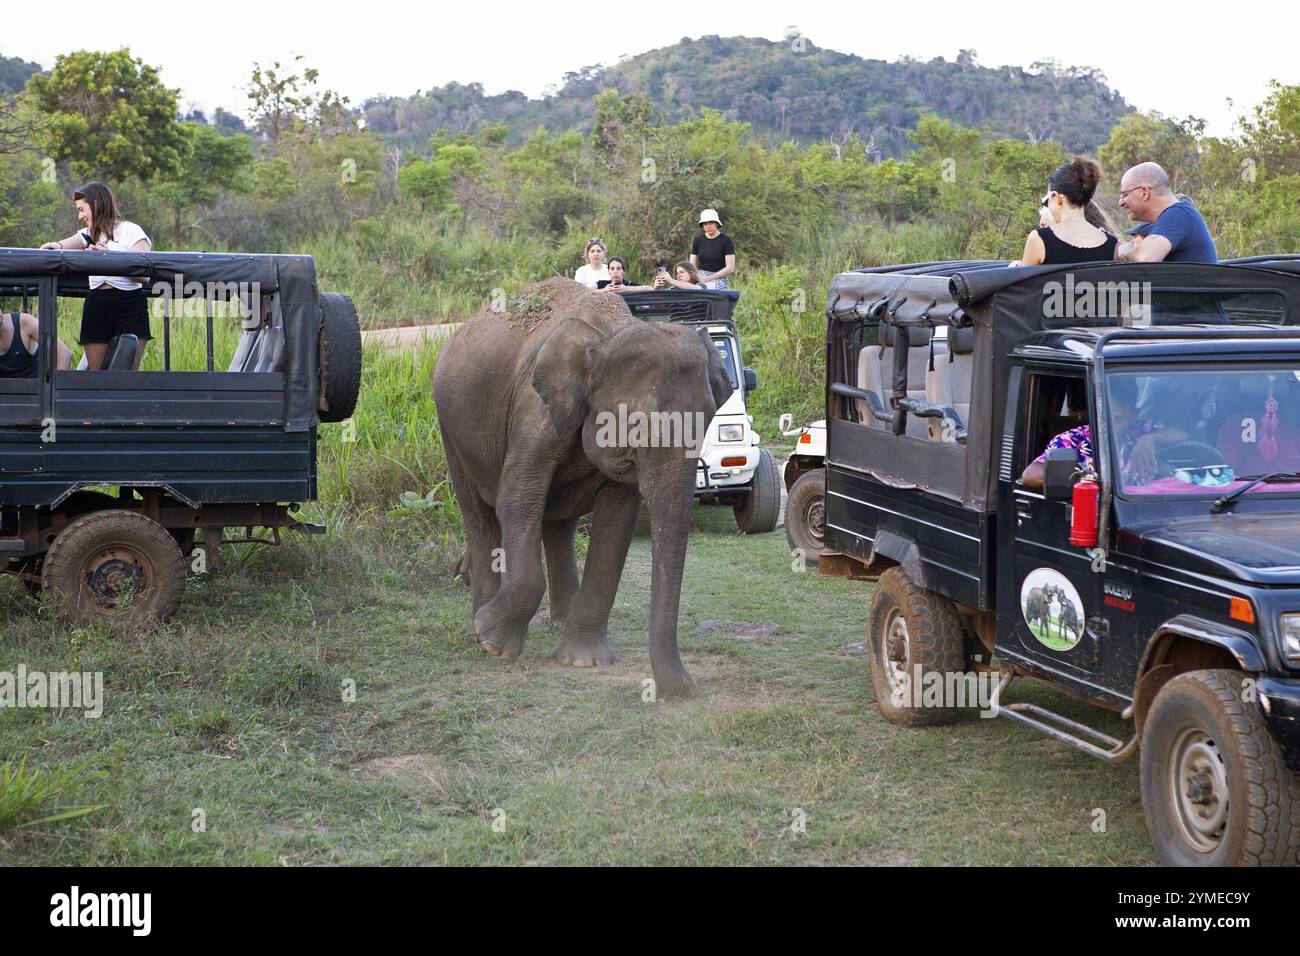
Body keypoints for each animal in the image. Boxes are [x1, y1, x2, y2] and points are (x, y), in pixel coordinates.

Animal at [432, 278, 733, 696]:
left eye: (709, 420)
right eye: (635, 425)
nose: (680, 688)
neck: (611, 333)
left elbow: (617, 523)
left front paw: (583, 661)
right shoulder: (534, 411)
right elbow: (517, 499)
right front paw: (492, 643)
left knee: (556, 522)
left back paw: (558, 621)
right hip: (451, 429)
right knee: (479, 513)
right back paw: (476, 627)